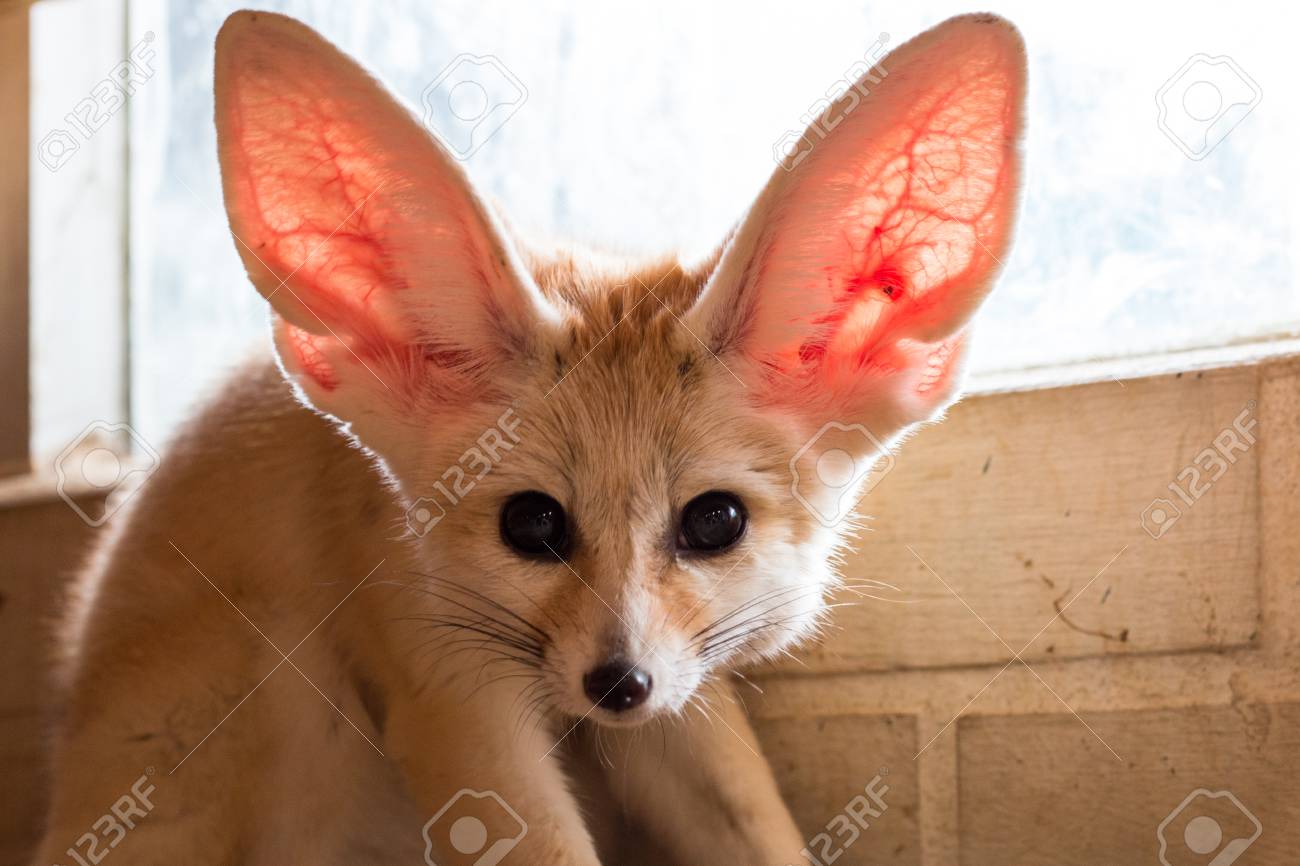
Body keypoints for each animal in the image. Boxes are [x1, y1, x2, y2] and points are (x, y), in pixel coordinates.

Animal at [34, 9, 1024, 866]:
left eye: (714, 522)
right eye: (532, 524)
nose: (617, 685)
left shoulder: (682, 691)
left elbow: (753, 825)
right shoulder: (447, 684)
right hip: (280, 689)